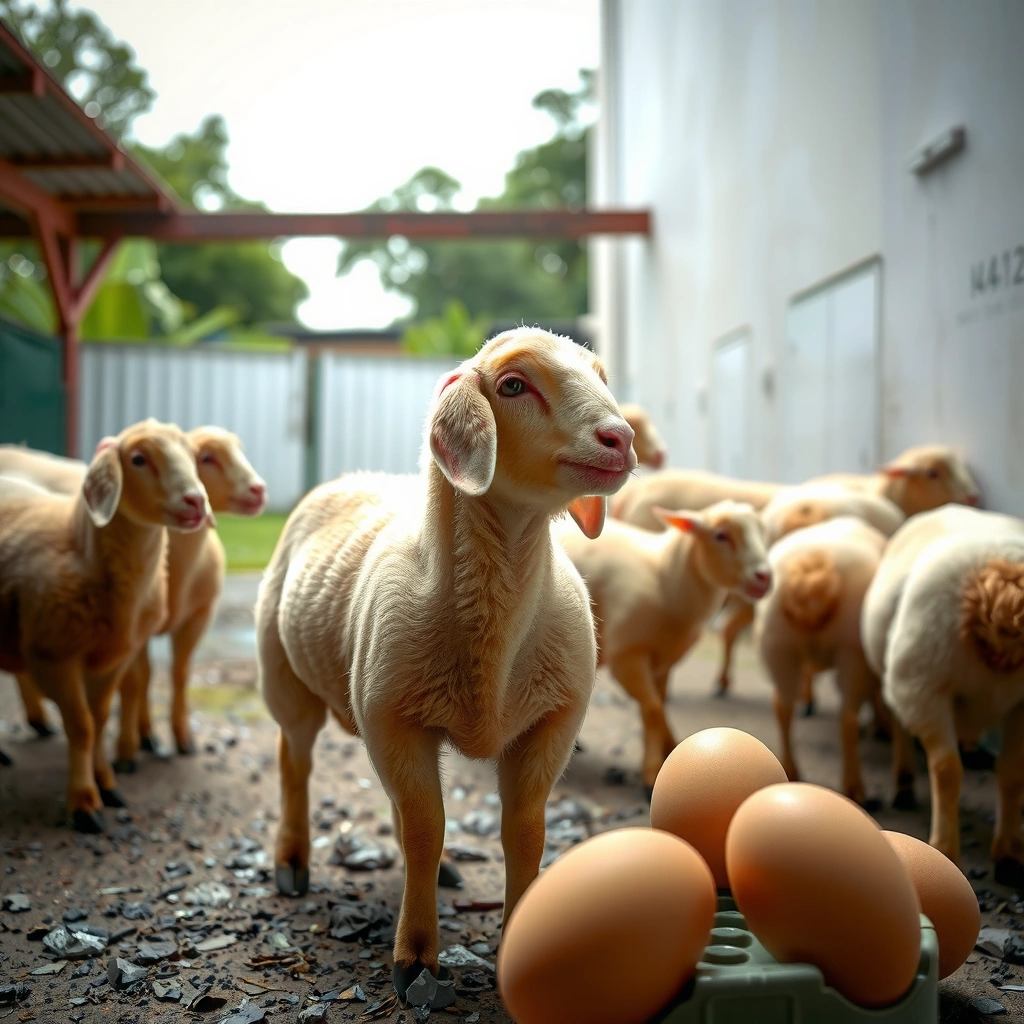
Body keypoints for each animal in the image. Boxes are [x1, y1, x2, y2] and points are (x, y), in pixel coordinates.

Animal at [0, 420, 209, 832]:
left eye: (194, 456)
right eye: (139, 459)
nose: (196, 501)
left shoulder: (115, 658)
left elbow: (98, 720)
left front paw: (107, 785)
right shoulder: (53, 655)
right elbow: (81, 726)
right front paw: (84, 803)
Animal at [256, 327, 636, 995]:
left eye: (601, 376)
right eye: (512, 385)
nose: (621, 438)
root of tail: (346, 477)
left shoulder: (551, 721)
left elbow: (523, 830)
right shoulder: (394, 720)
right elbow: (425, 826)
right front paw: (415, 959)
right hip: (287, 678)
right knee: (295, 761)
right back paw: (292, 862)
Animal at [558, 499, 771, 793]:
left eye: (763, 532)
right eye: (720, 535)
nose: (765, 577)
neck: (666, 578)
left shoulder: (665, 659)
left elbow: (656, 705)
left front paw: (669, 750)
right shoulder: (627, 655)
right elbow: (653, 708)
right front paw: (652, 772)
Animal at [755, 516, 889, 805]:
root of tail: (813, 564)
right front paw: (880, 724)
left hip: (778, 645)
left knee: (782, 706)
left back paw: (791, 769)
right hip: (852, 651)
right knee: (847, 717)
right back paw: (854, 786)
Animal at [860, 505, 1024, 883]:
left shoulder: (1021, 707)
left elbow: (1011, 773)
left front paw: (1009, 855)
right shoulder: (925, 689)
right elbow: (948, 770)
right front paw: (945, 852)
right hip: (909, 675)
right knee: (907, 732)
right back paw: (905, 784)